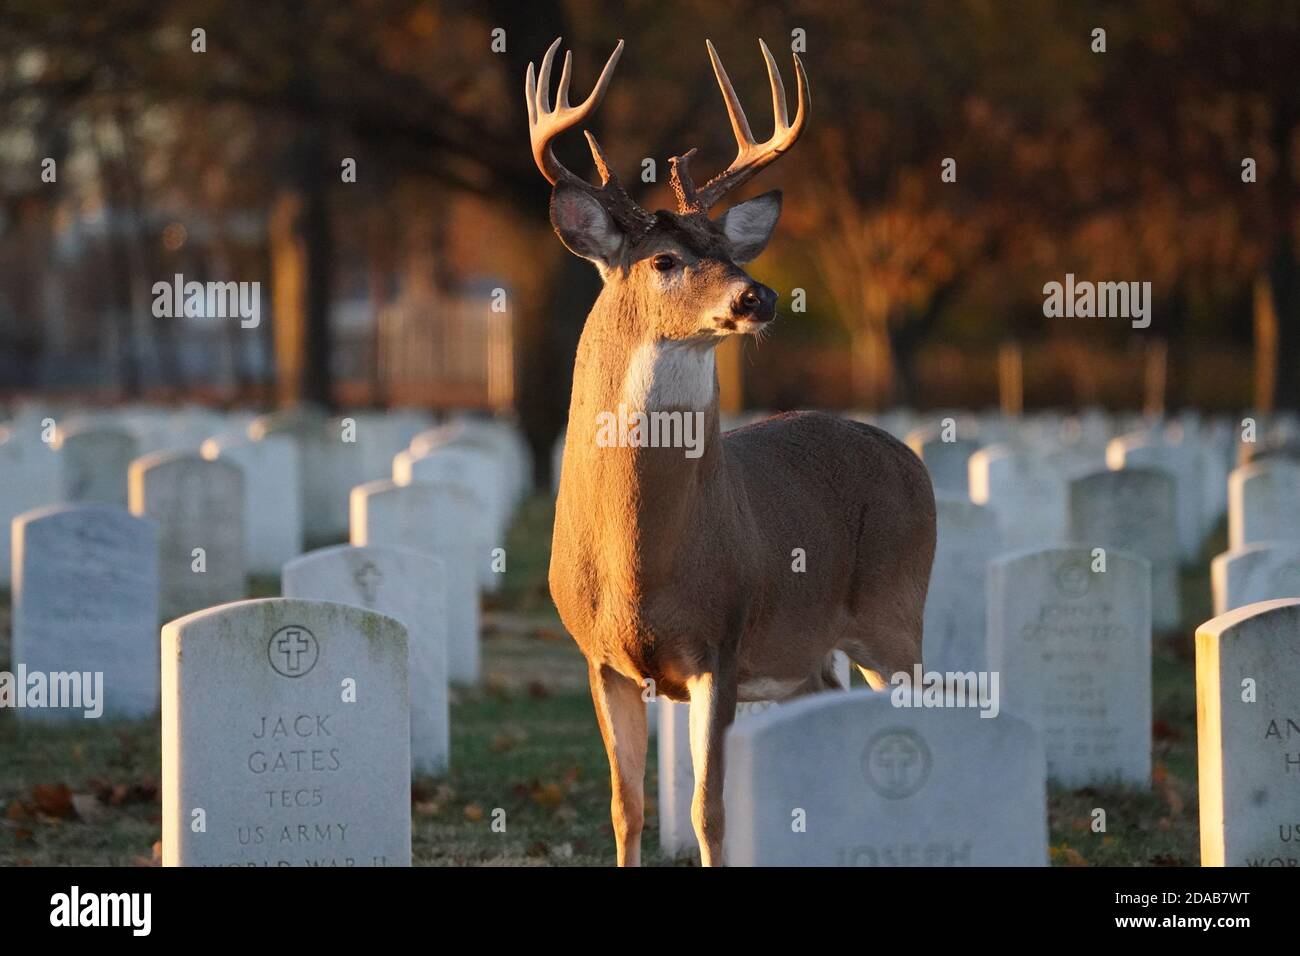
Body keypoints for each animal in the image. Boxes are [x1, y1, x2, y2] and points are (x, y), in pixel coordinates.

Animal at [528, 37, 937, 866]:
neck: (639, 561)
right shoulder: (600, 659)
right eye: (664, 260)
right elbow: (626, 808)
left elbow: (708, 811)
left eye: (726, 248)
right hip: (810, 652)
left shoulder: (720, 643)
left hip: (896, 613)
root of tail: (911, 458)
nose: (760, 296)